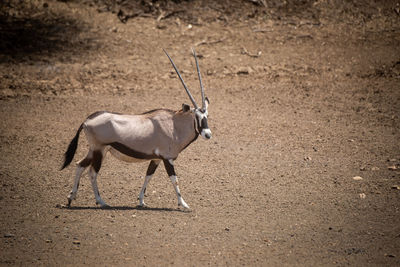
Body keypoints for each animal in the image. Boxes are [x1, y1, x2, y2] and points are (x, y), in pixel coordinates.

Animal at [61, 49, 211, 210]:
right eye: (196, 116)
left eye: (207, 115)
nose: (208, 134)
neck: (174, 124)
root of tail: (87, 120)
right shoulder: (167, 159)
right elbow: (174, 179)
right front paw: (183, 204)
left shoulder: (156, 159)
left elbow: (148, 176)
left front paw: (141, 201)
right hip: (99, 150)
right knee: (92, 172)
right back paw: (101, 201)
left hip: (95, 150)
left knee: (80, 165)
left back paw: (71, 198)